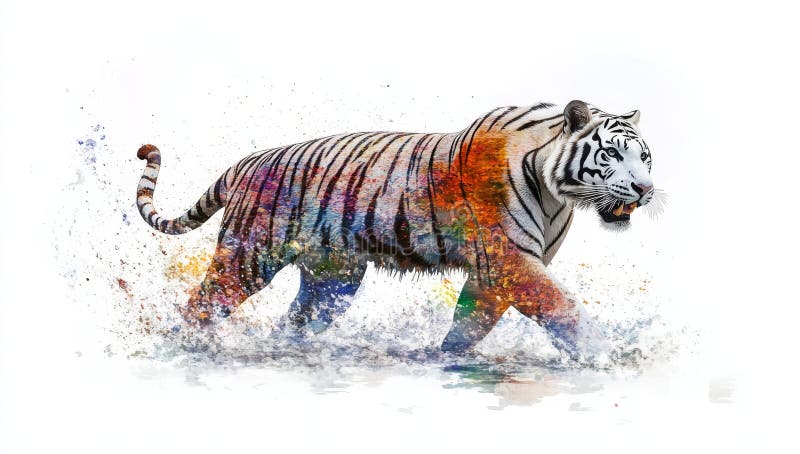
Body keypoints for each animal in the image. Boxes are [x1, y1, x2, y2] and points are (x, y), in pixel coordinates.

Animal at [135, 100, 655, 359]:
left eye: (645, 157)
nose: (646, 189)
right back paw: (186, 348)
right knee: (203, 304)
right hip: (249, 257)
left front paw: (447, 356)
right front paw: (603, 355)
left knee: (294, 321)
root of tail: (246, 162)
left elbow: (470, 321)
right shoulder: (509, 259)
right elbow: (562, 307)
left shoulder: (497, 272)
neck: (555, 191)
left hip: (332, 280)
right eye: (612, 153)